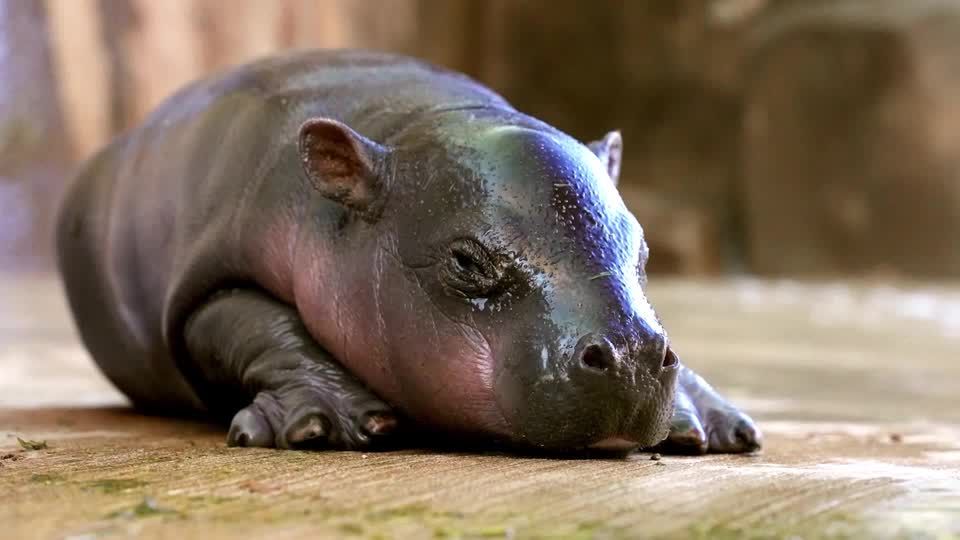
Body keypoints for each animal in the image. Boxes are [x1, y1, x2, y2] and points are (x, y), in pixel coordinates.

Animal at [55, 49, 761, 455]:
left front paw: (708, 423)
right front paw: (329, 423)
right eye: (465, 261)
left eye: (643, 252)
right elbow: (249, 322)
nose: (634, 358)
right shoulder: (214, 279)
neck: (412, 123)